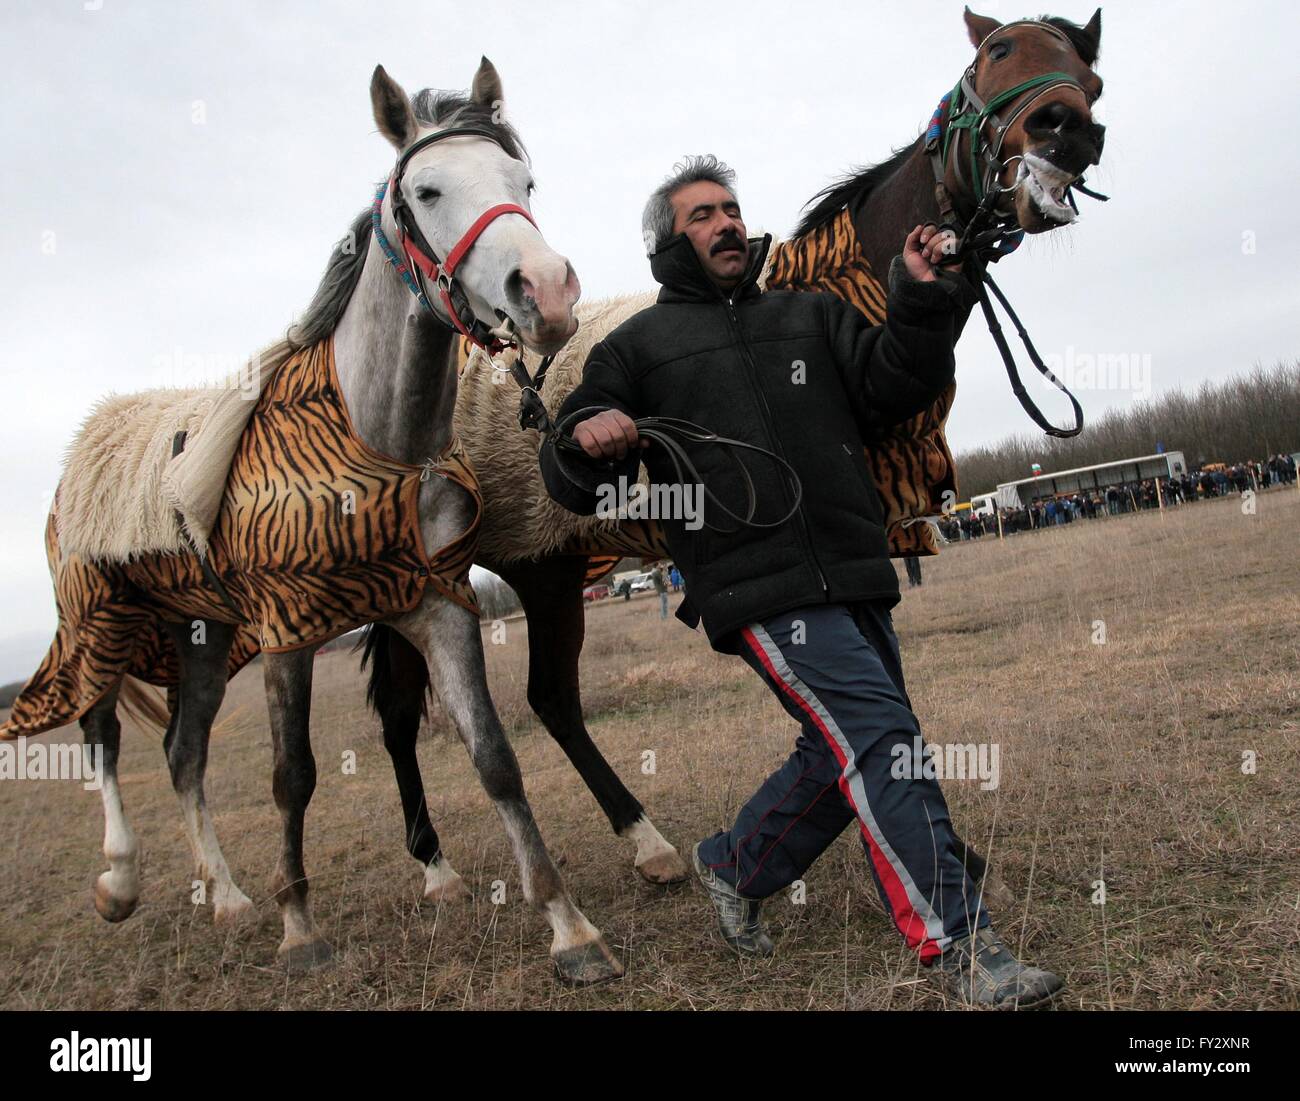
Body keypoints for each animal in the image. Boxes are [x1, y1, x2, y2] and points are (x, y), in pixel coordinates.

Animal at [1, 59, 626, 984]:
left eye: (524, 182)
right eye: (427, 191)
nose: (545, 292)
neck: (373, 437)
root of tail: (81, 453)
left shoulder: (436, 606)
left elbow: (494, 757)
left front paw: (570, 927)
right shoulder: (289, 629)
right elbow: (291, 775)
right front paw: (301, 928)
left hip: (201, 637)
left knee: (182, 754)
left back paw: (226, 895)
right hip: (100, 619)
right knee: (100, 730)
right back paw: (120, 879)